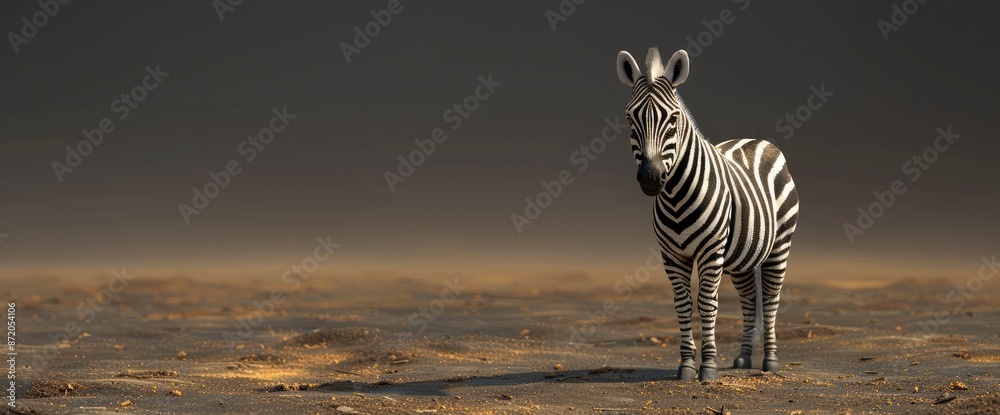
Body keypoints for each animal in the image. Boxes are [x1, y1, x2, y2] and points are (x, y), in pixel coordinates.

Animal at [614, 47, 800, 381]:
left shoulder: (711, 251)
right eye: (629, 117)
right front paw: (687, 365)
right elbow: (683, 304)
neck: (676, 195)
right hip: (741, 257)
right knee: (749, 299)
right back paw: (743, 358)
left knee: (770, 299)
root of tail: (758, 141)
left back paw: (770, 361)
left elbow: (707, 303)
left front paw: (708, 367)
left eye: (674, 118)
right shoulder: (671, 255)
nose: (650, 177)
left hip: (780, 245)